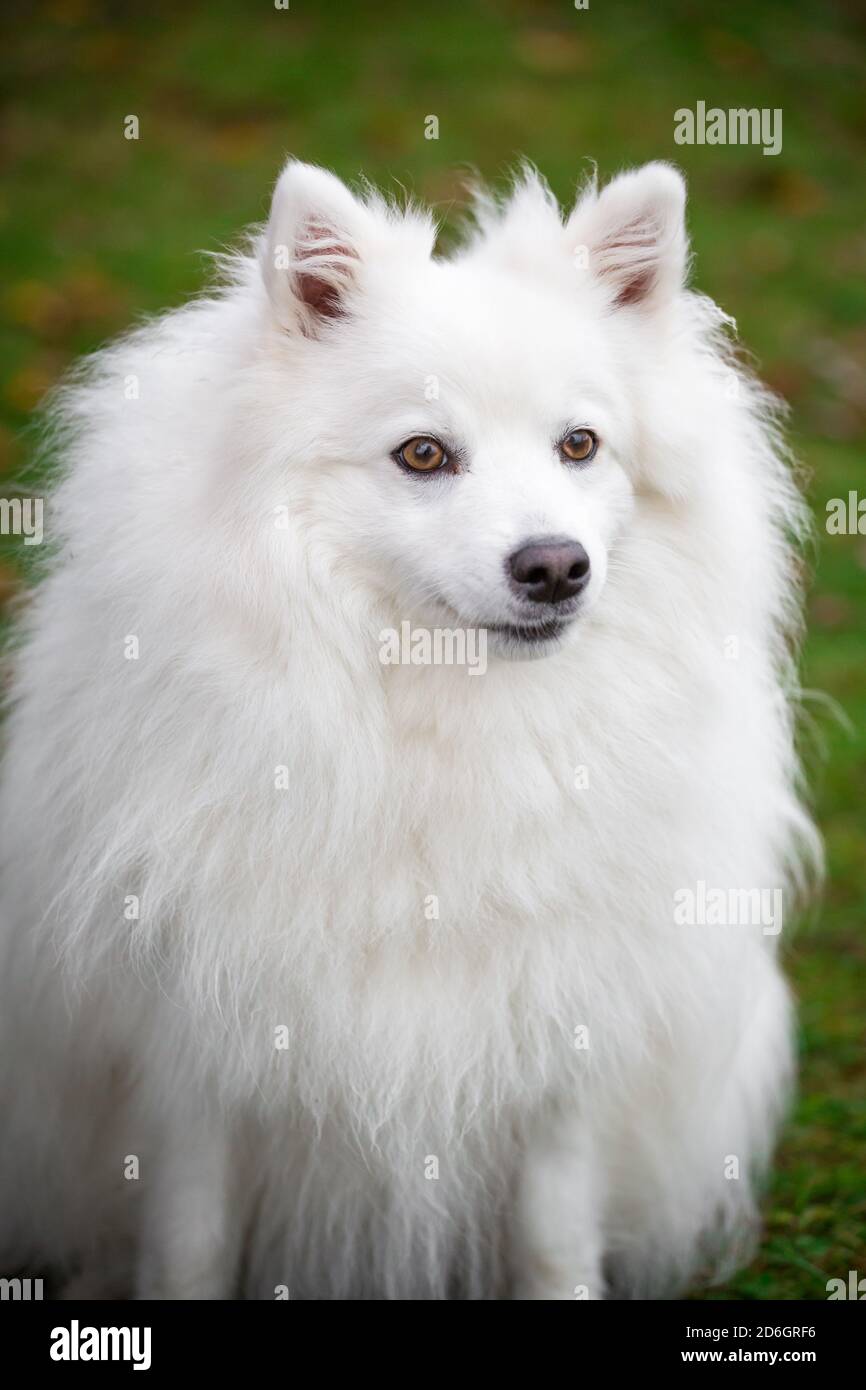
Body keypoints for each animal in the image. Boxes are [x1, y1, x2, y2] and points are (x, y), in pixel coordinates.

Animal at [0, 162, 817, 1301]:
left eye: (579, 445)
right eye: (423, 454)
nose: (556, 565)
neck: (441, 719)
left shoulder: (560, 1046)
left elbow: (552, 1239)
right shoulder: (193, 1058)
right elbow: (189, 1244)